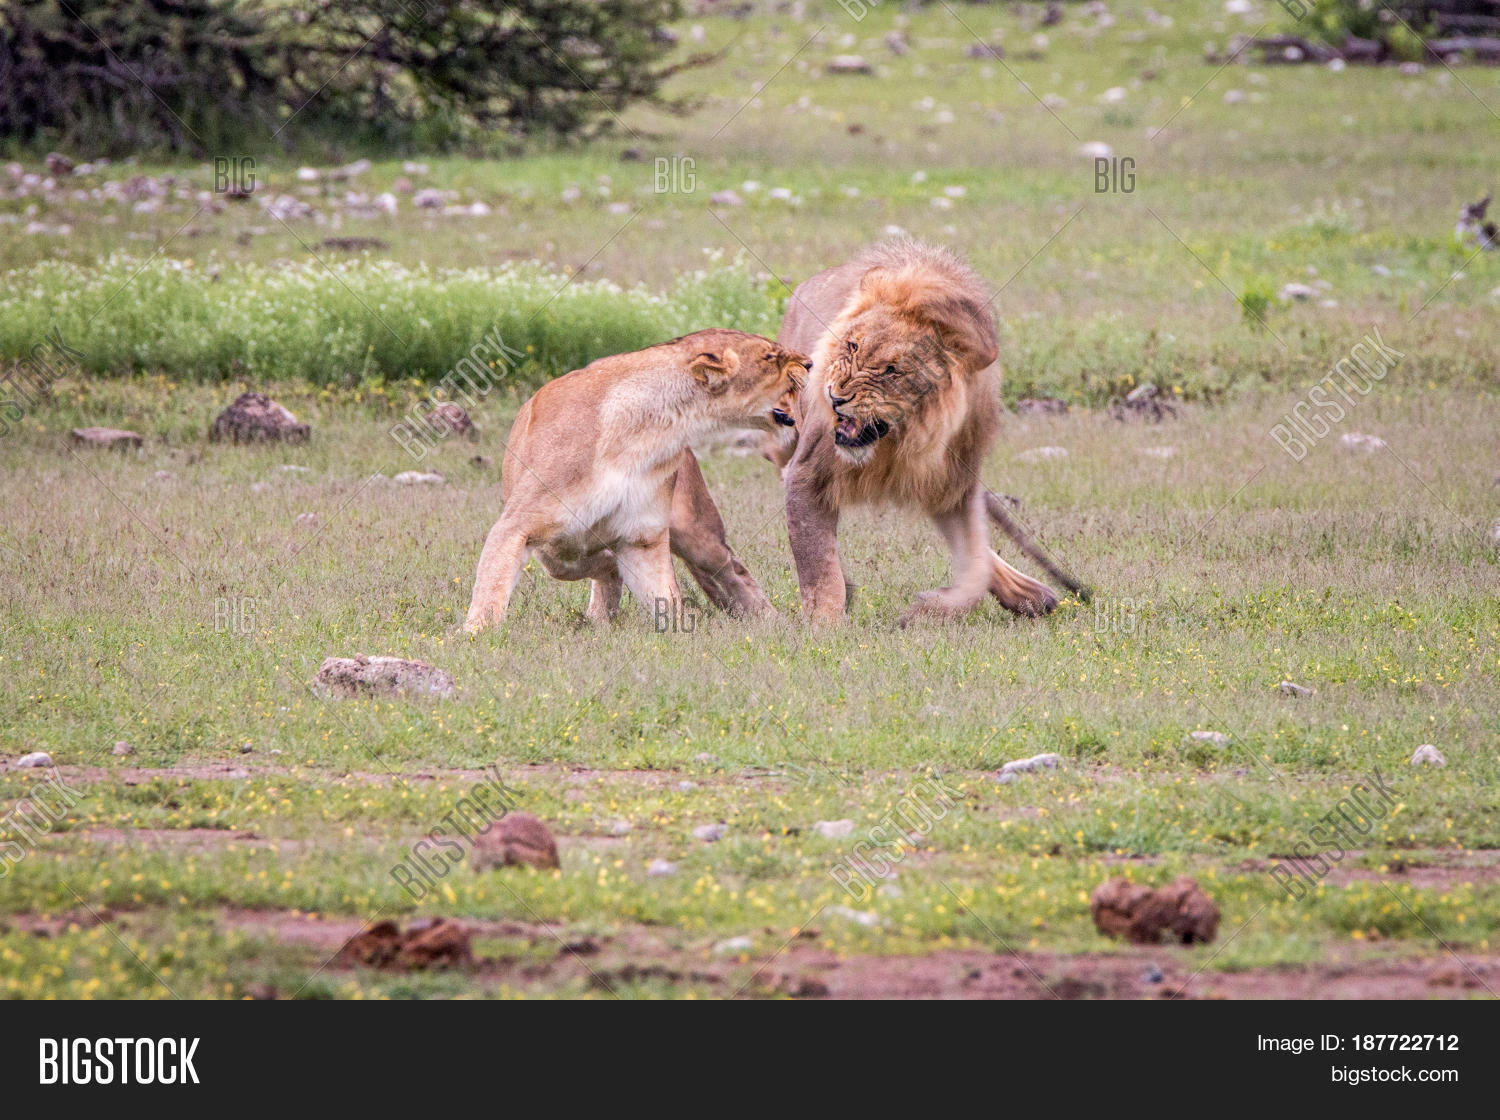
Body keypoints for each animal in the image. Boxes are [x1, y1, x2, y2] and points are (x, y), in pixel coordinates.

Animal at [463, 329, 809, 632]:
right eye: (769, 356)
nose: (809, 363)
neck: (649, 429)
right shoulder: (519, 527)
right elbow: (493, 588)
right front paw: (475, 638)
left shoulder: (641, 537)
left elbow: (666, 597)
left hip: (697, 533)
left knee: (732, 570)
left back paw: (773, 624)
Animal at [777, 238, 1072, 624]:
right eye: (852, 346)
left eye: (892, 370)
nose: (835, 397)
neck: (900, 441)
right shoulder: (805, 472)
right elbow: (819, 569)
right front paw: (822, 627)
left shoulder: (954, 485)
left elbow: (975, 570)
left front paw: (928, 609)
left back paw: (1029, 594)